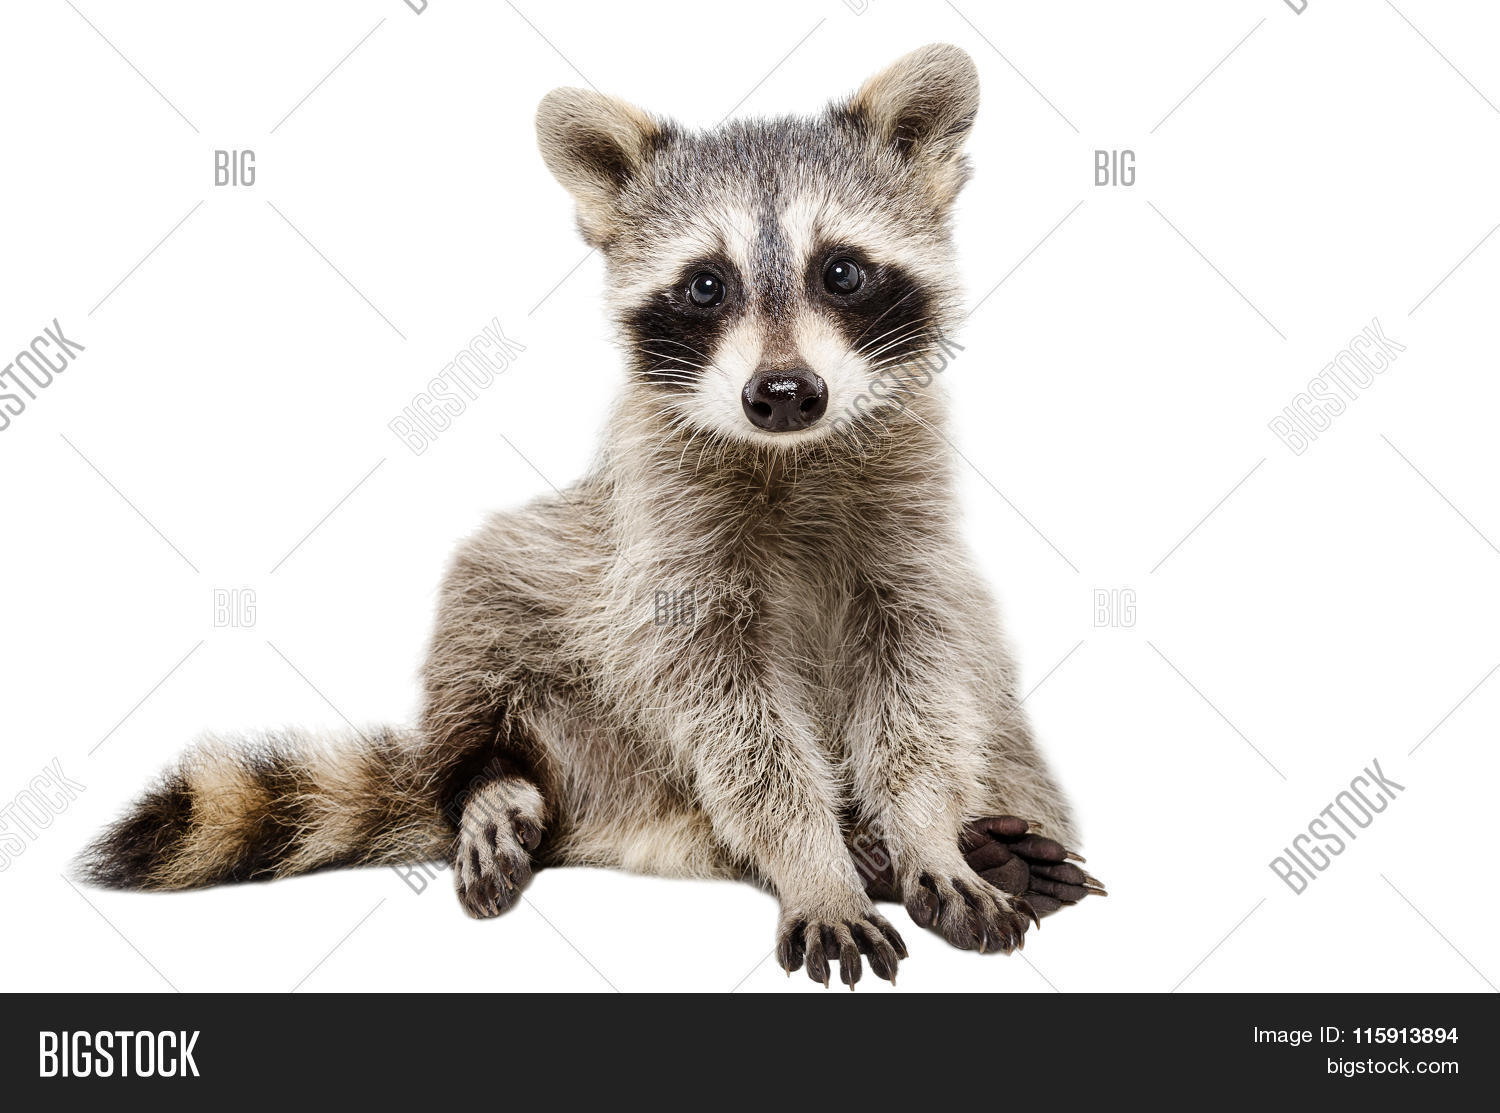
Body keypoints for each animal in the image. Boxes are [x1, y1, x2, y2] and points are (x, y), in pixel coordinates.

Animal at [80, 44, 1103, 987]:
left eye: (843, 272)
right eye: (706, 284)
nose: (783, 393)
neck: (791, 456)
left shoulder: (910, 530)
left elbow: (923, 678)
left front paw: (925, 828)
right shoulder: (662, 540)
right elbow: (733, 722)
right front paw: (810, 856)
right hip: (569, 669)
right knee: (490, 595)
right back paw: (501, 785)